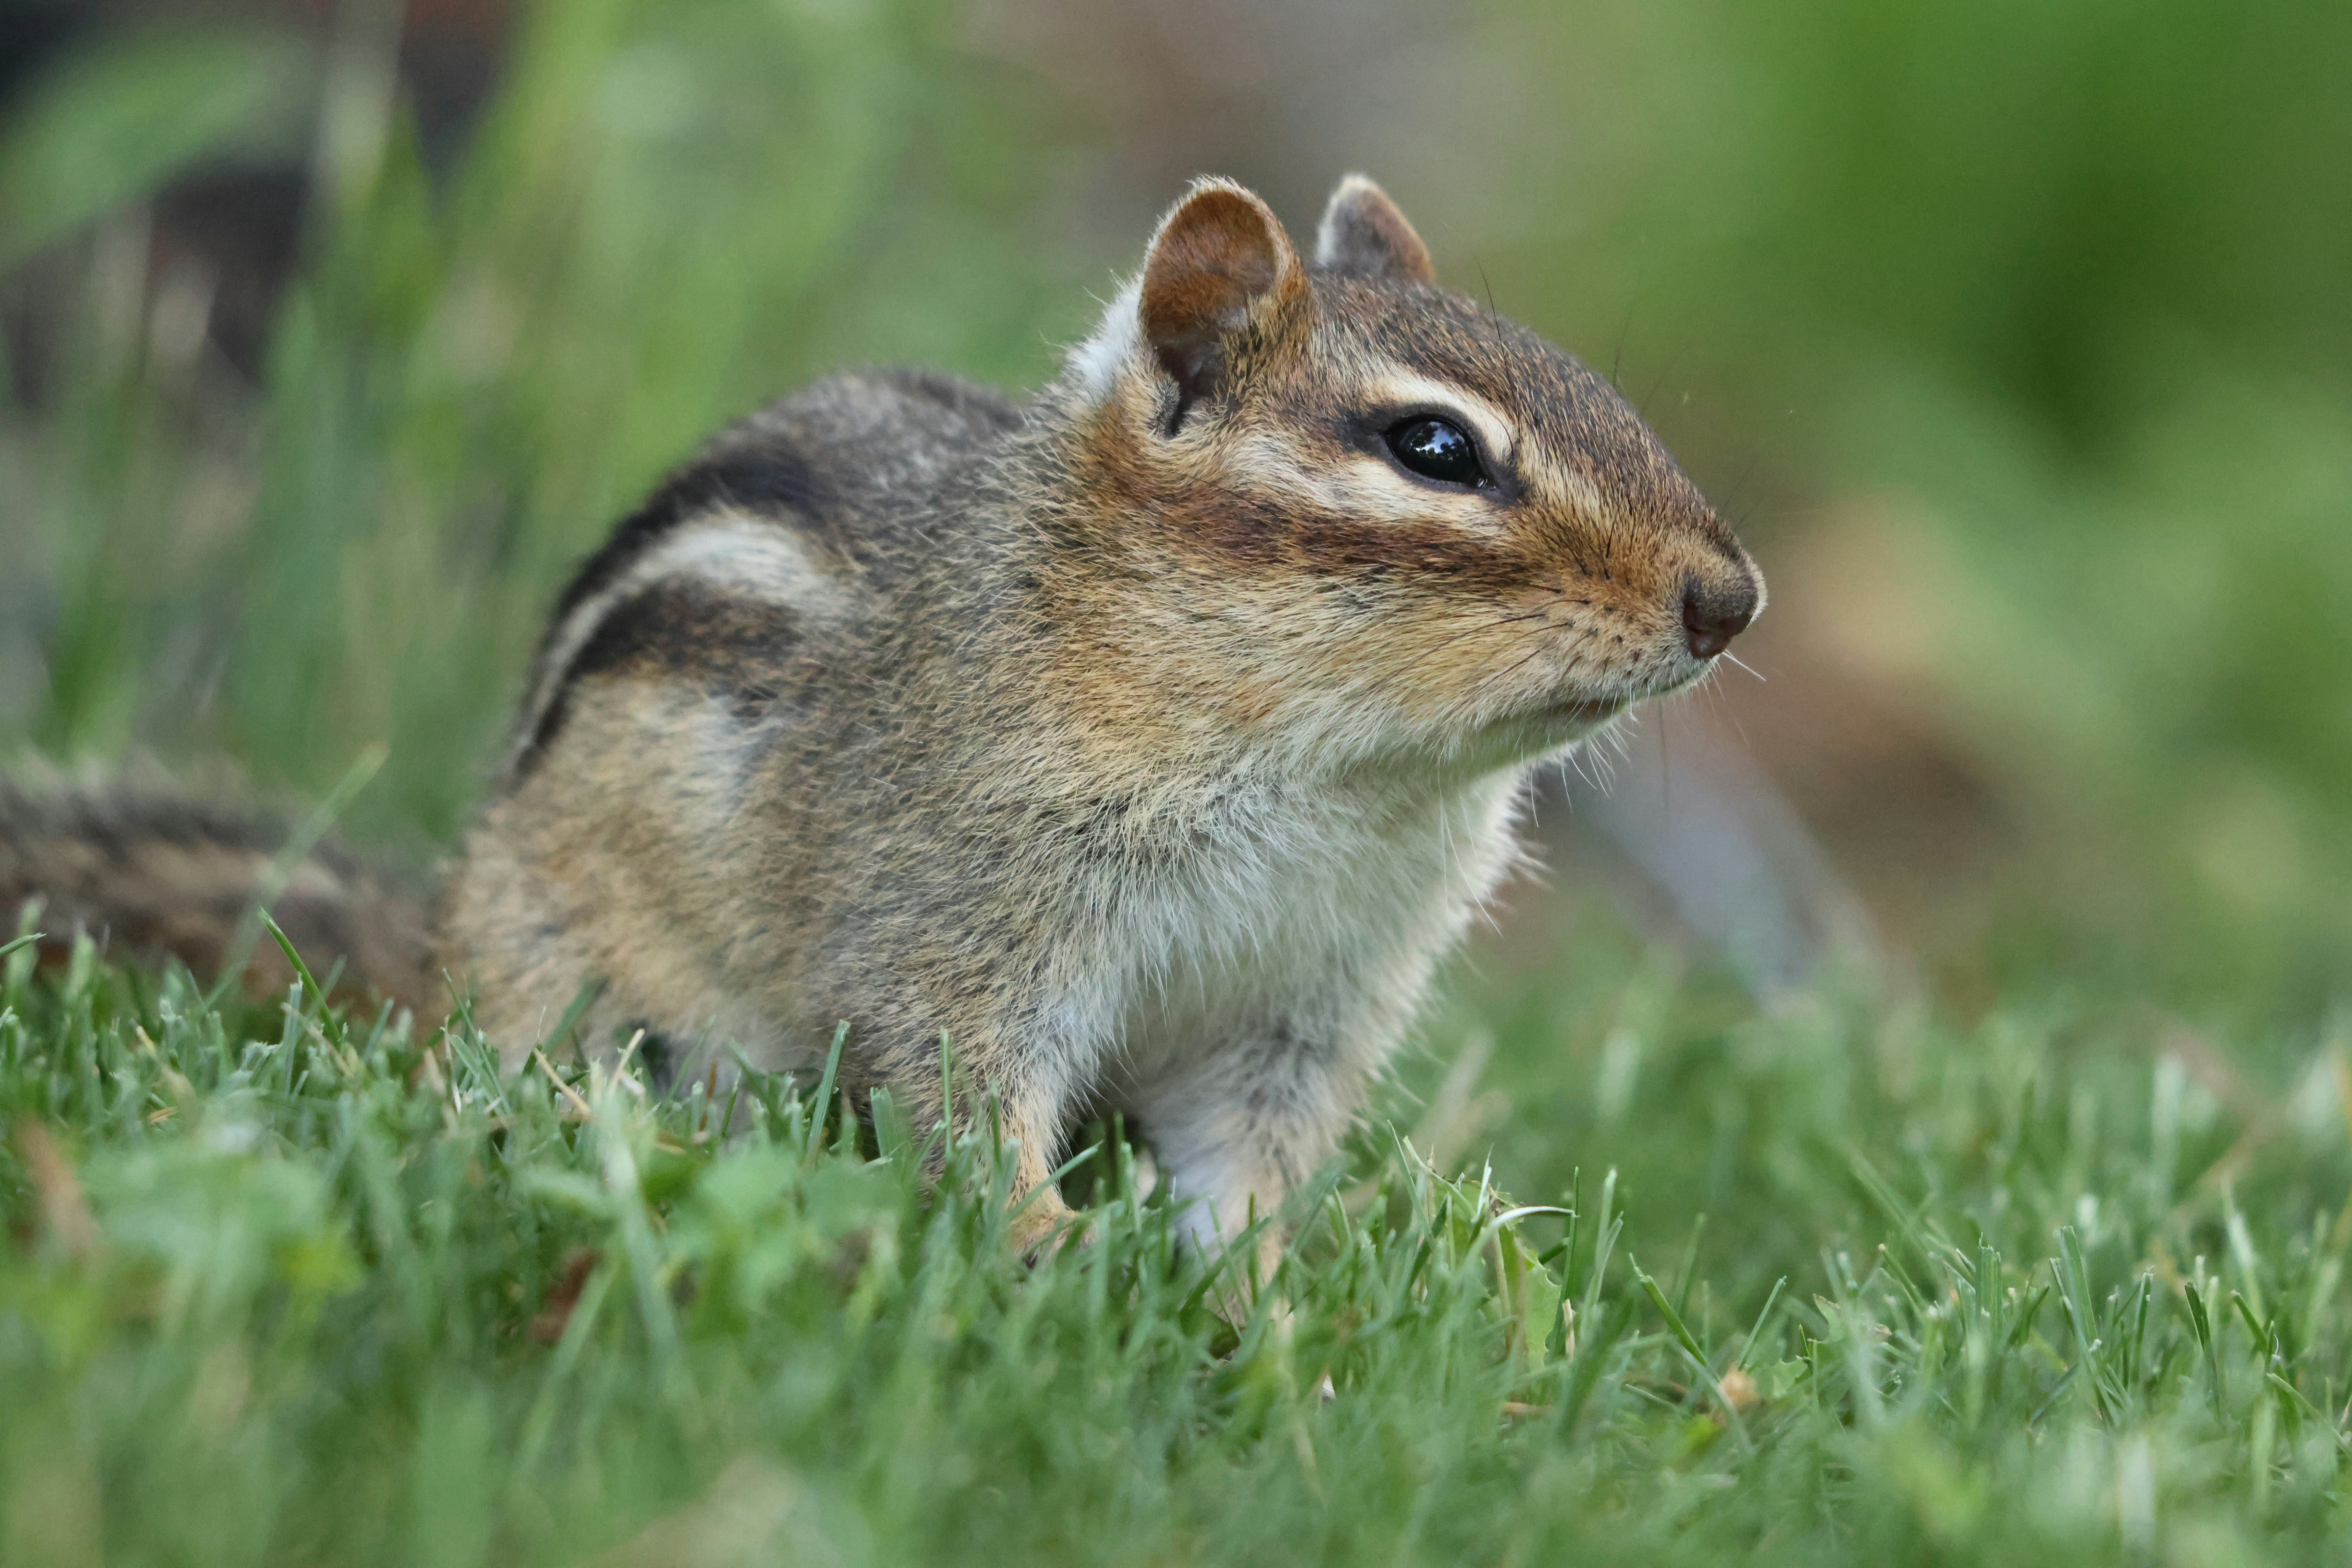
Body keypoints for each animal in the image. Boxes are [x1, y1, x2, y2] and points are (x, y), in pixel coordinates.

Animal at [4, 176, 1761, 1260]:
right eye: (1434, 449)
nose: (1731, 597)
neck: (1338, 775)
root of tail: (436, 938)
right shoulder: (963, 916)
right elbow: (965, 1095)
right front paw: (1049, 1258)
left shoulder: (1307, 1003)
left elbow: (1247, 1169)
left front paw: (1260, 1318)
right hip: (571, 968)